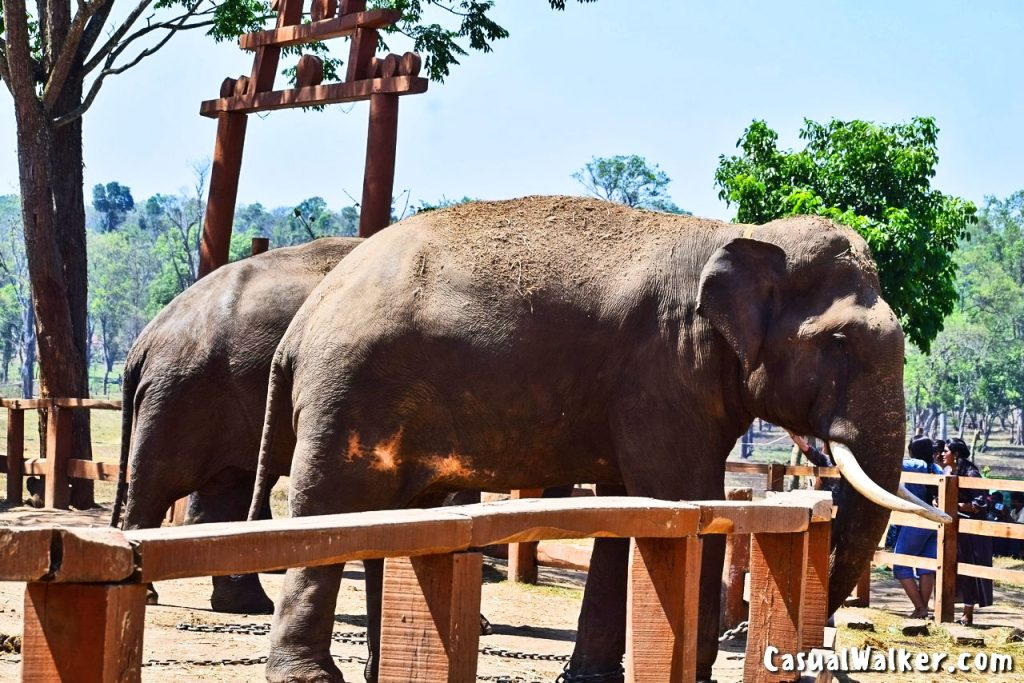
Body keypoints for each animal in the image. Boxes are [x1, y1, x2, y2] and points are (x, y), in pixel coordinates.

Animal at [110, 236, 361, 613]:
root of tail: (144, 339)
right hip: (181, 394)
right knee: (160, 482)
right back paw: (152, 594)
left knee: (228, 489)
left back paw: (247, 604)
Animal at [249, 195, 947, 682]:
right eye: (839, 341)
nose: (737, 634)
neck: (737, 234)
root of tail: (304, 321)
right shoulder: (662, 370)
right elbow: (681, 497)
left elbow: (631, 507)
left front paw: (589, 677)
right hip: (348, 394)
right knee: (328, 508)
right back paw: (309, 677)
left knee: (395, 520)